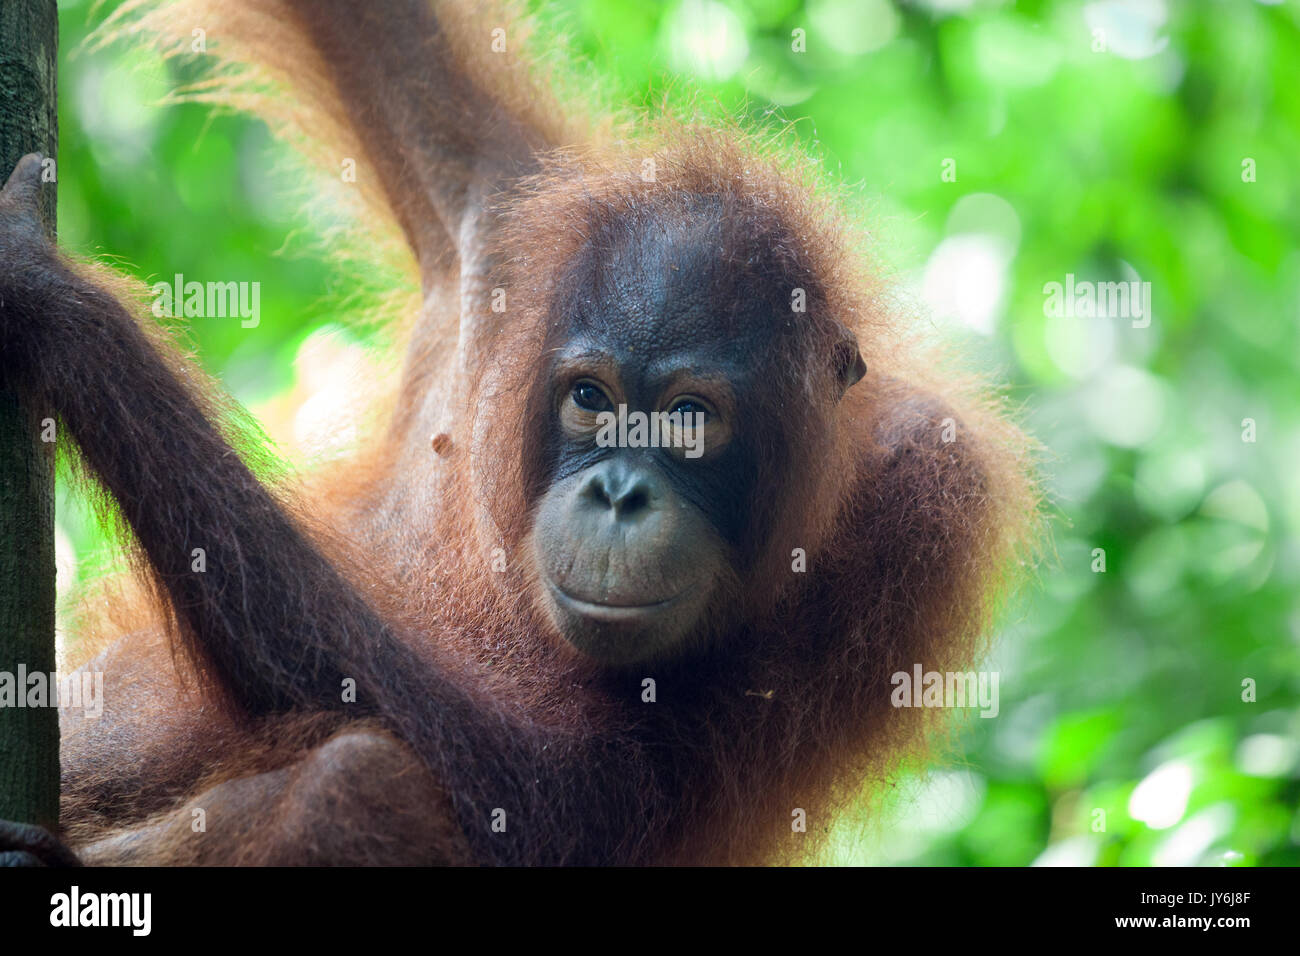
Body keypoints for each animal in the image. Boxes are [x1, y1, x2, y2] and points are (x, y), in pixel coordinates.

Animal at [0, 0, 1035, 866]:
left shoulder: (920, 504)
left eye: (689, 419)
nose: (618, 493)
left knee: (363, 783)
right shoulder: (497, 221)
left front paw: (63, 309)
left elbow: (559, 796)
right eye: (590, 397)